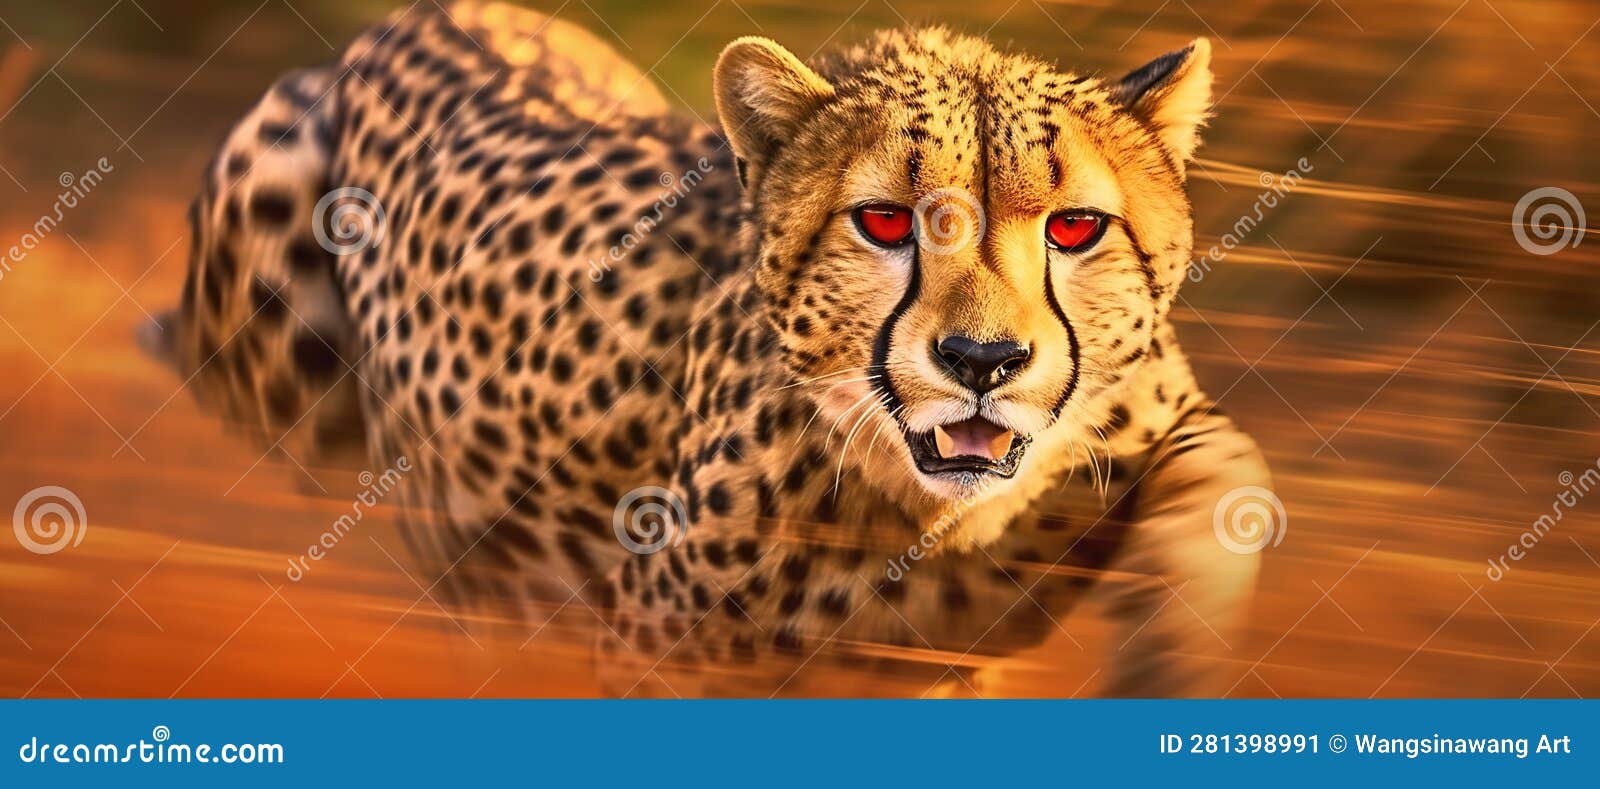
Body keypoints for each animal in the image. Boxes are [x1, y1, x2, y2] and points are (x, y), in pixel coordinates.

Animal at [149, 0, 1274, 697]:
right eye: (885, 223)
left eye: (1075, 229)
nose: (981, 362)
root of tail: (427, 15)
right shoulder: (662, 649)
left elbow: (1230, 478)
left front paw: (1172, 653)